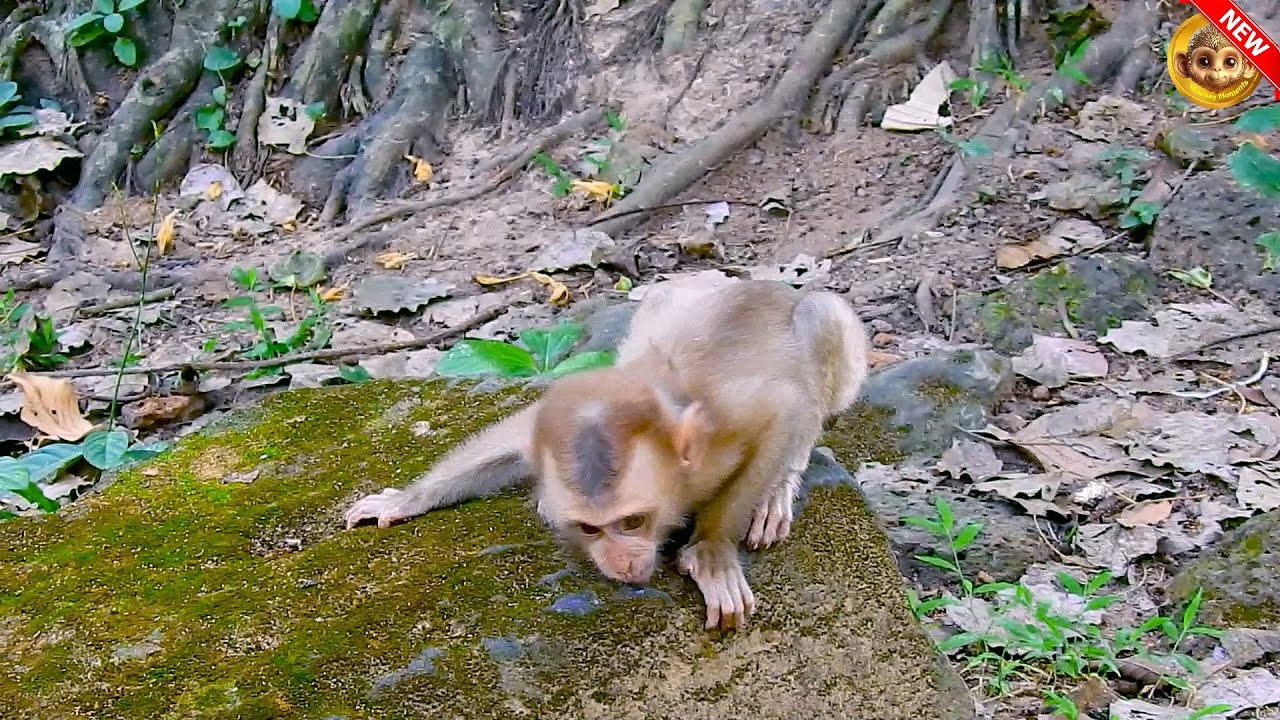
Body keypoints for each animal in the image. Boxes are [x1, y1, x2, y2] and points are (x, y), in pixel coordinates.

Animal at [344, 279, 870, 631]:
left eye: (632, 522)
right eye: (590, 529)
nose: (621, 563)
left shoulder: (724, 422)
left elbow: (786, 411)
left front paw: (712, 549)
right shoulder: (555, 419)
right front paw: (405, 500)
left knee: (819, 319)